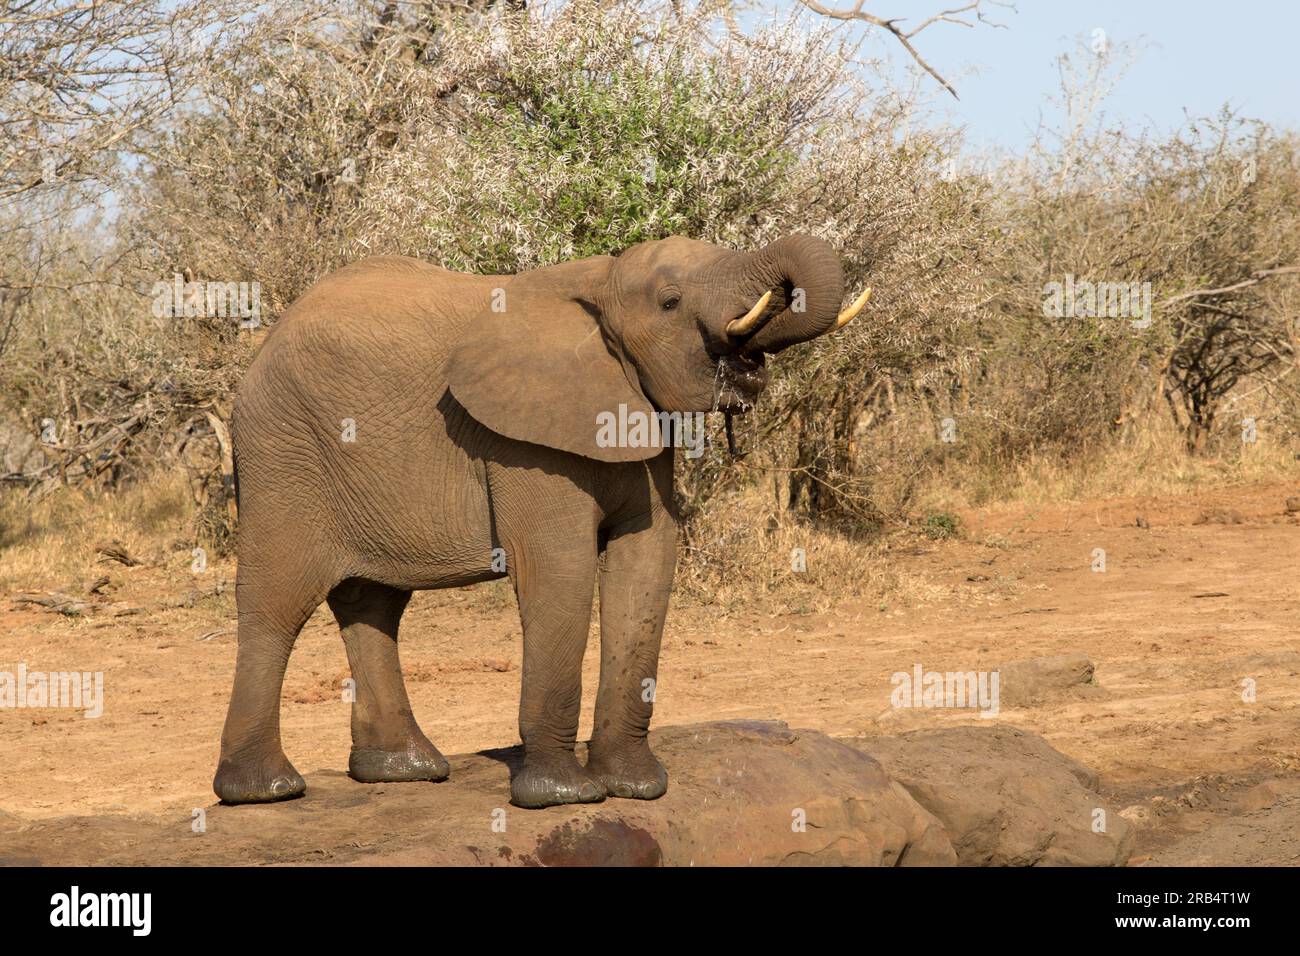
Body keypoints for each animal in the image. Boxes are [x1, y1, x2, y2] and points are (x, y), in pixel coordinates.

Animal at [212, 232, 871, 809]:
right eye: (670, 301)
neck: (599, 284)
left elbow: (648, 563)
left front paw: (638, 787)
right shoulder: (524, 442)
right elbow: (561, 571)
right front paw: (562, 796)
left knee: (373, 604)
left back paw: (406, 771)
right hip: (283, 452)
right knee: (277, 604)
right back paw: (265, 791)